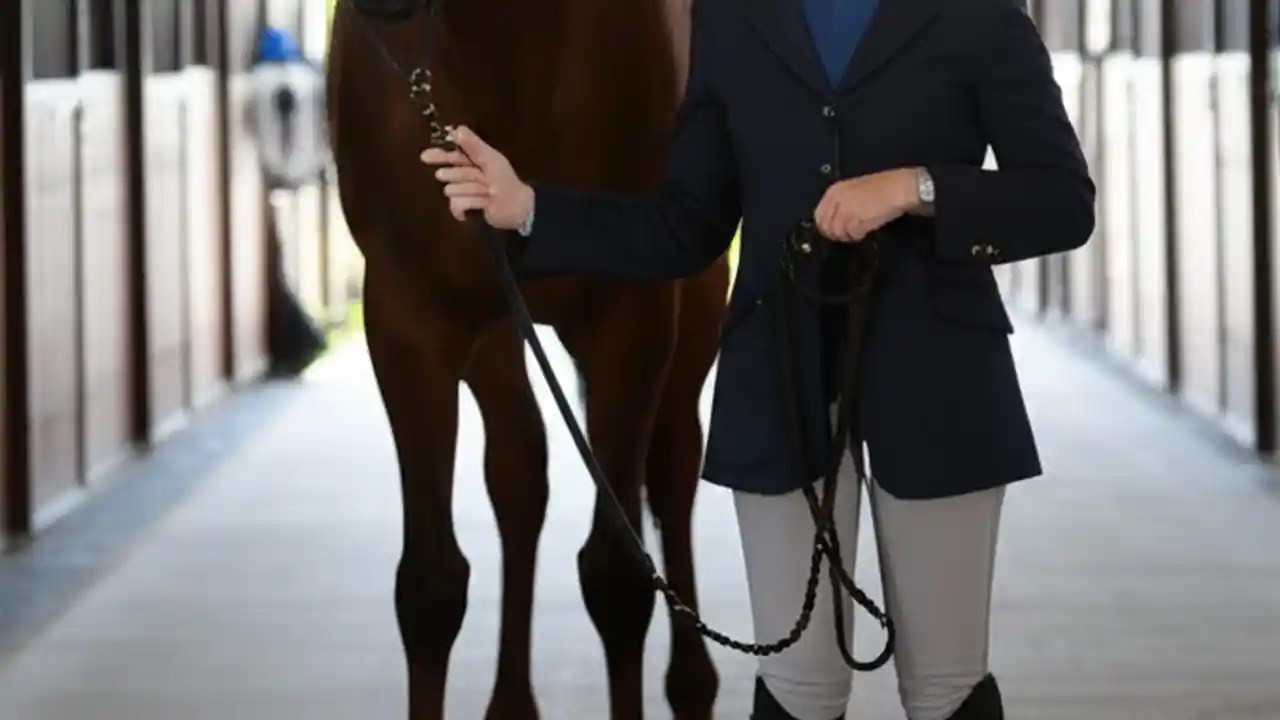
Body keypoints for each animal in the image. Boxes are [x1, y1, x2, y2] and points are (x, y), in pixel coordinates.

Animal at [326, 0, 728, 717]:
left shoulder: (633, 318)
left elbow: (618, 579)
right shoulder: (410, 320)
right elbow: (429, 587)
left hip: (698, 300)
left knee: (674, 468)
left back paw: (691, 685)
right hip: (494, 331)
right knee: (519, 472)